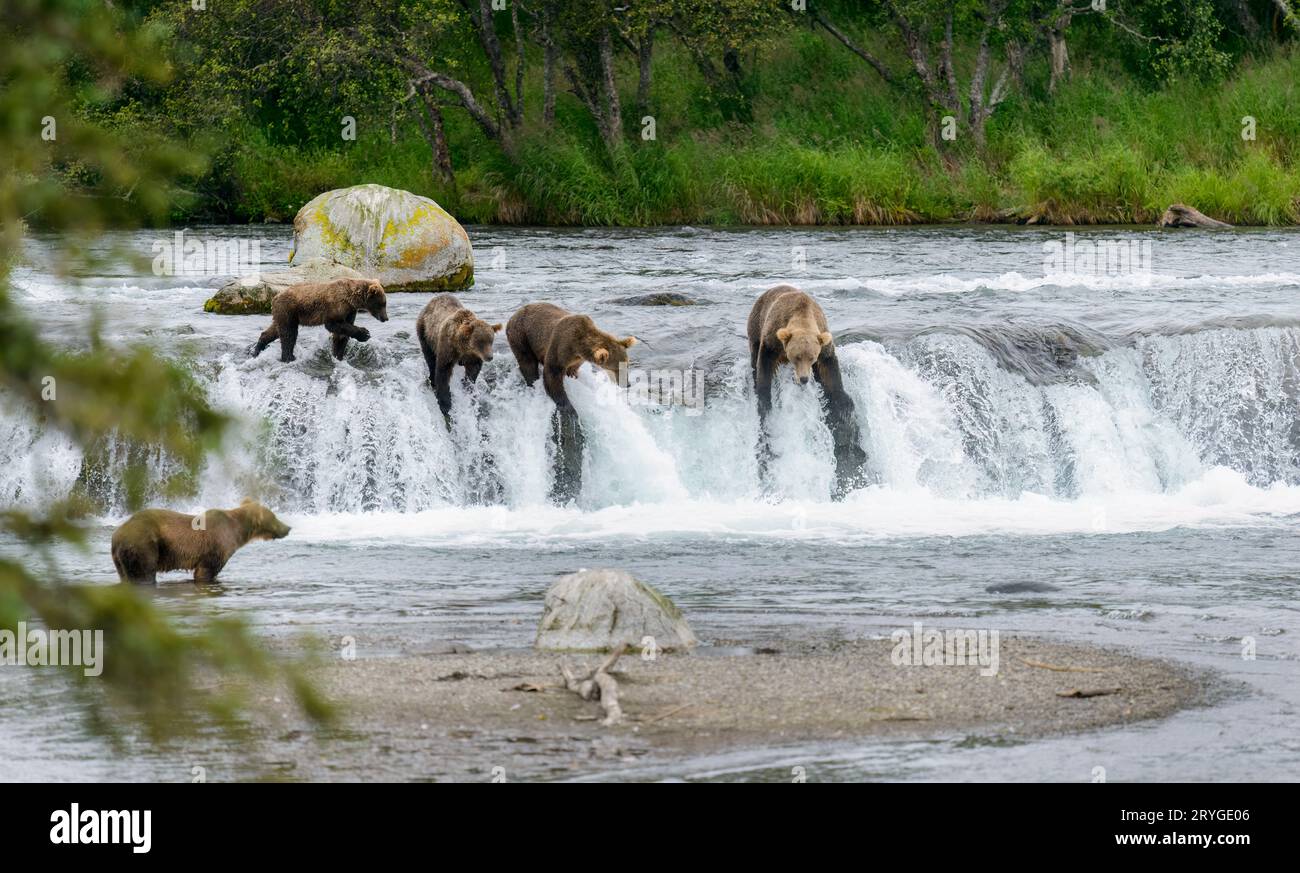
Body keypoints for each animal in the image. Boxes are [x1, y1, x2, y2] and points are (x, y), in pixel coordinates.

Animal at [110, 499, 291, 585]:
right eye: (275, 516)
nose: (288, 528)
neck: (237, 530)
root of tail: (117, 534)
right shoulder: (216, 546)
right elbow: (206, 571)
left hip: (120, 558)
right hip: (143, 544)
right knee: (143, 574)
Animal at [252, 278, 389, 363]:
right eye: (382, 303)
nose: (386, 318)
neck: (352, 299)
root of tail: (274, 297)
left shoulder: (350, 311)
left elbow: (341, 334)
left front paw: (338, 354)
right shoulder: (336, 305)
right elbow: (333, 324)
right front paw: (364, 333)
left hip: (283, 314)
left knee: (274, 331)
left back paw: (257, 349)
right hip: (289, 310)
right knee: (288, 334)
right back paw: (289, 357)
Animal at [505, 302, 637, 412]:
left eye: (627, 365)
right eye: (616, 368)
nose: (627, 384)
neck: (578, 346)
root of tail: (514, 314)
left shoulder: (577, 357)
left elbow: (573, 367)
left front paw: (572, 374)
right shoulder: (561, 344)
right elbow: (552, 373)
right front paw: (567, 405)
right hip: (521, 334)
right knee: (527, 361)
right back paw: (532, 380)